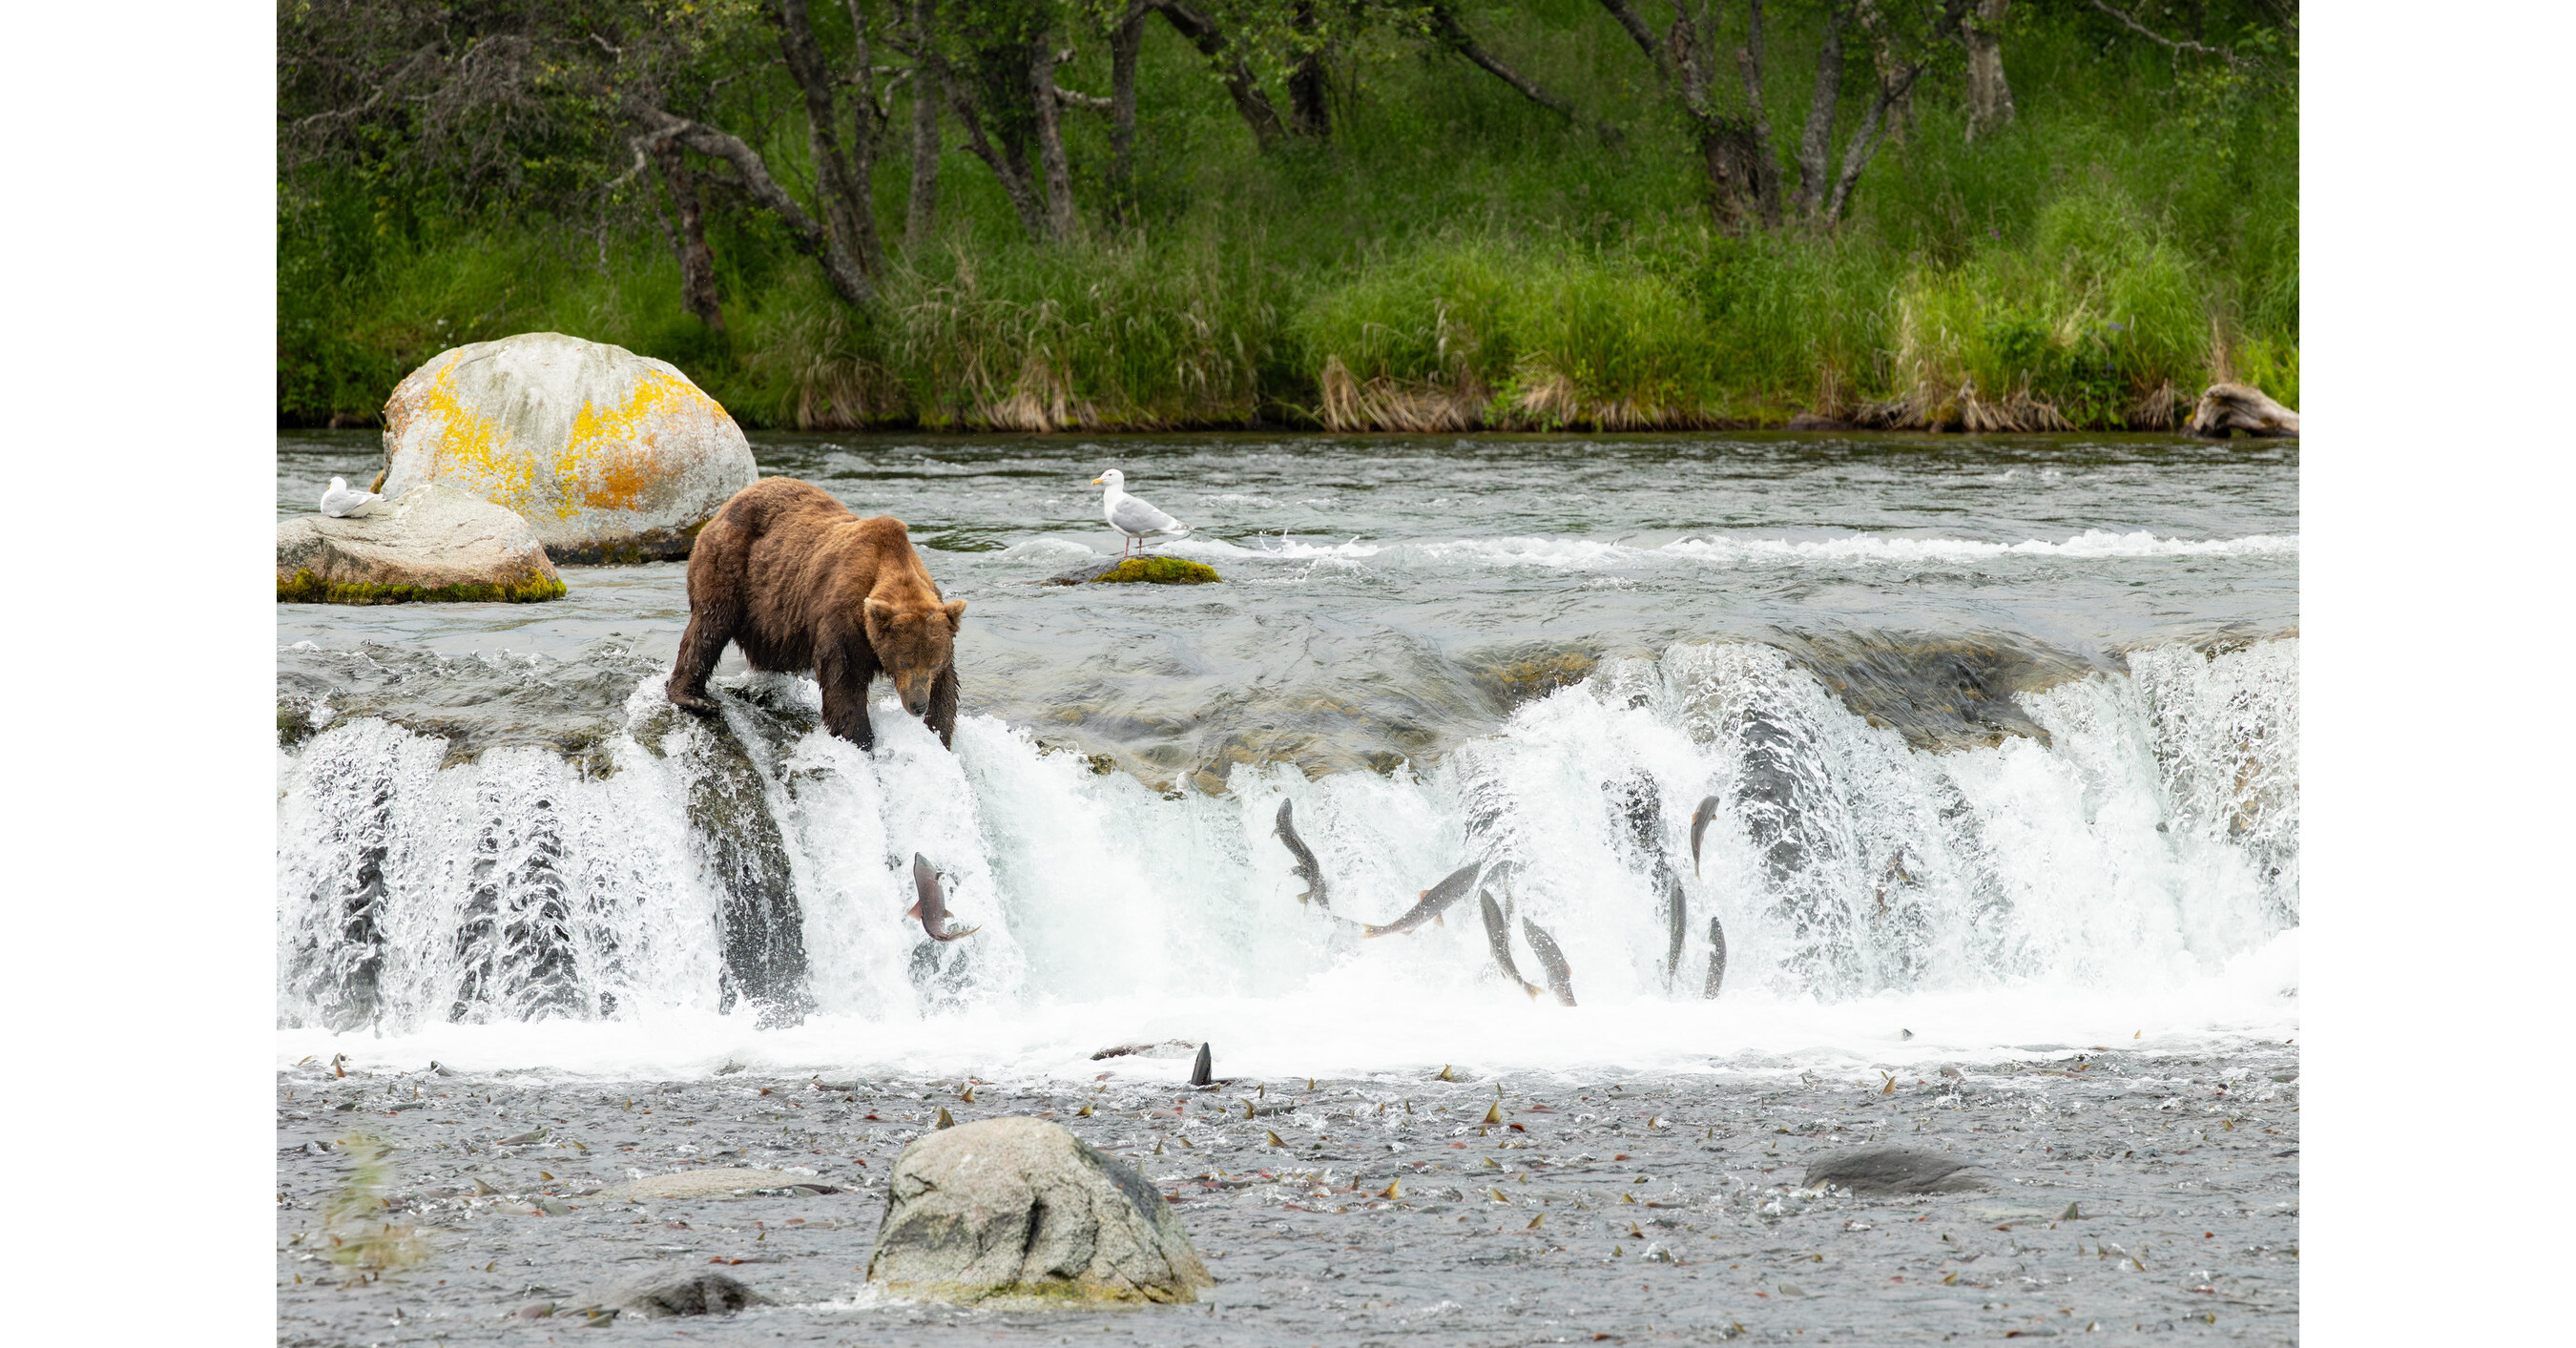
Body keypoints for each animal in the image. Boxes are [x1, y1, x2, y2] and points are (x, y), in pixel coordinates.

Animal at [666, 477, 965, 749]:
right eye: (904, 661)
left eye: (933, 663)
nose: (917, 704)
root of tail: (731, 501)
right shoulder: (844, 617)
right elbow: (844, 679)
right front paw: (859, 738)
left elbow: (946, 689)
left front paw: (938, 735)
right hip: (731, 562)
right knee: (710, 623)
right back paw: (694, 698)